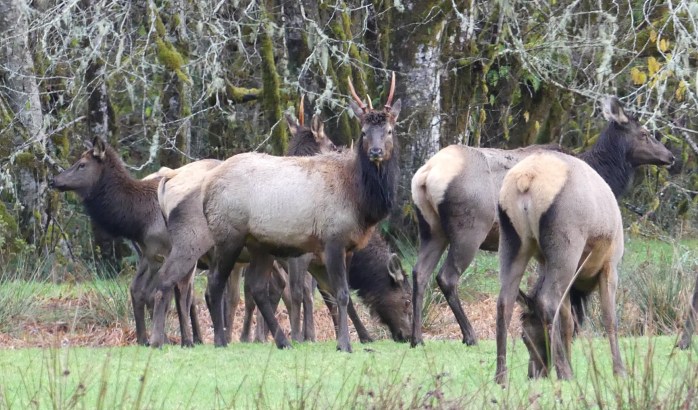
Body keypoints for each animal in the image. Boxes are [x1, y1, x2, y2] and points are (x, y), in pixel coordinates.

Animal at [50, 137, 203, 347]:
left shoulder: (173, 251)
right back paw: (198, 337)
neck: (138, 219)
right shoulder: (148, 253)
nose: (54, 180)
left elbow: (174, 293)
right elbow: (138, 290)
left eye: (82, 164)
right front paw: (143, 338)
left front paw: (176, 340)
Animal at [197, 73, 401, 351]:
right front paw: (344, 344)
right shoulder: (331, 240)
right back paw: (221, 340)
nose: (376, 152)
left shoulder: (348, 247)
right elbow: (340, 294)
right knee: (215, 284)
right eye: (364, 132)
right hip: (228, 235)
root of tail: (206, 190)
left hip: (260, 244)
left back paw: (283, 341)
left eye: (389, 130)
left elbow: (340, 296)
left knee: (257, 287)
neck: (359, 199)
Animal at [410, 96, 675, 347]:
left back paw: (416, 338)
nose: (670, 156)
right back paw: (469, 335)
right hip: (470, 229)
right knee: (446, 277)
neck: (604, 175)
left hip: (432, 229)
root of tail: (426, 175)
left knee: (419, 272)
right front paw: (570, 332)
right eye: (644, 133)